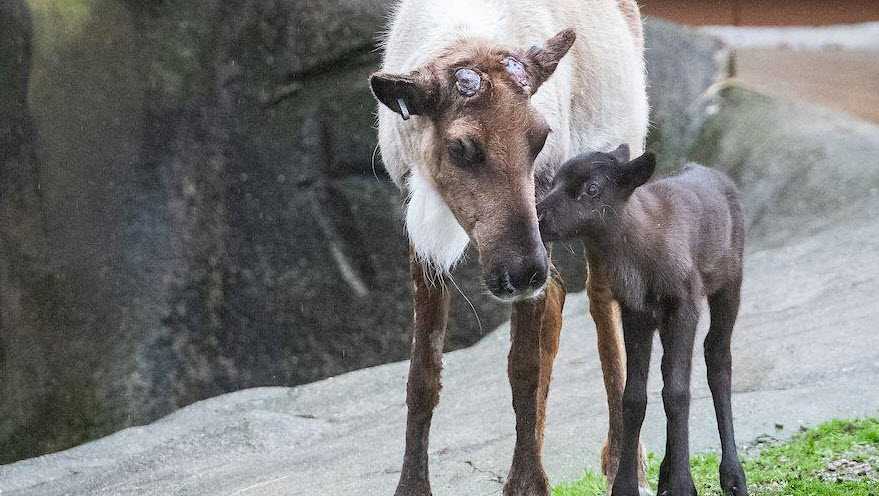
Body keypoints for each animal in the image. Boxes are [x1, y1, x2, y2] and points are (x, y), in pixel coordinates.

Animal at [369, 1, 649, 495]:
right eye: (461, 147)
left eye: (540, 137)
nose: (521, 273)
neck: (467, 39)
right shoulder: (418, 219)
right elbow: (422, 373)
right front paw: (412, 485)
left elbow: (523, 366)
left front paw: (526, 483)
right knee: (557, 297)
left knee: (602, 304)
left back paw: (622, 459)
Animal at [537, 148, 748, 496]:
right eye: (553, 182)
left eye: (592, 188)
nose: (538, 218)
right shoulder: (635, 313)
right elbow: (634, 397)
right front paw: (627, 485)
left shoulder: (684, 306)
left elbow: (677, 394)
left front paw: (682, 485)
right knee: (668, 371)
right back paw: (666, 473)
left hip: (729, 283)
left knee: (718, 358)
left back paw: (732, 477)